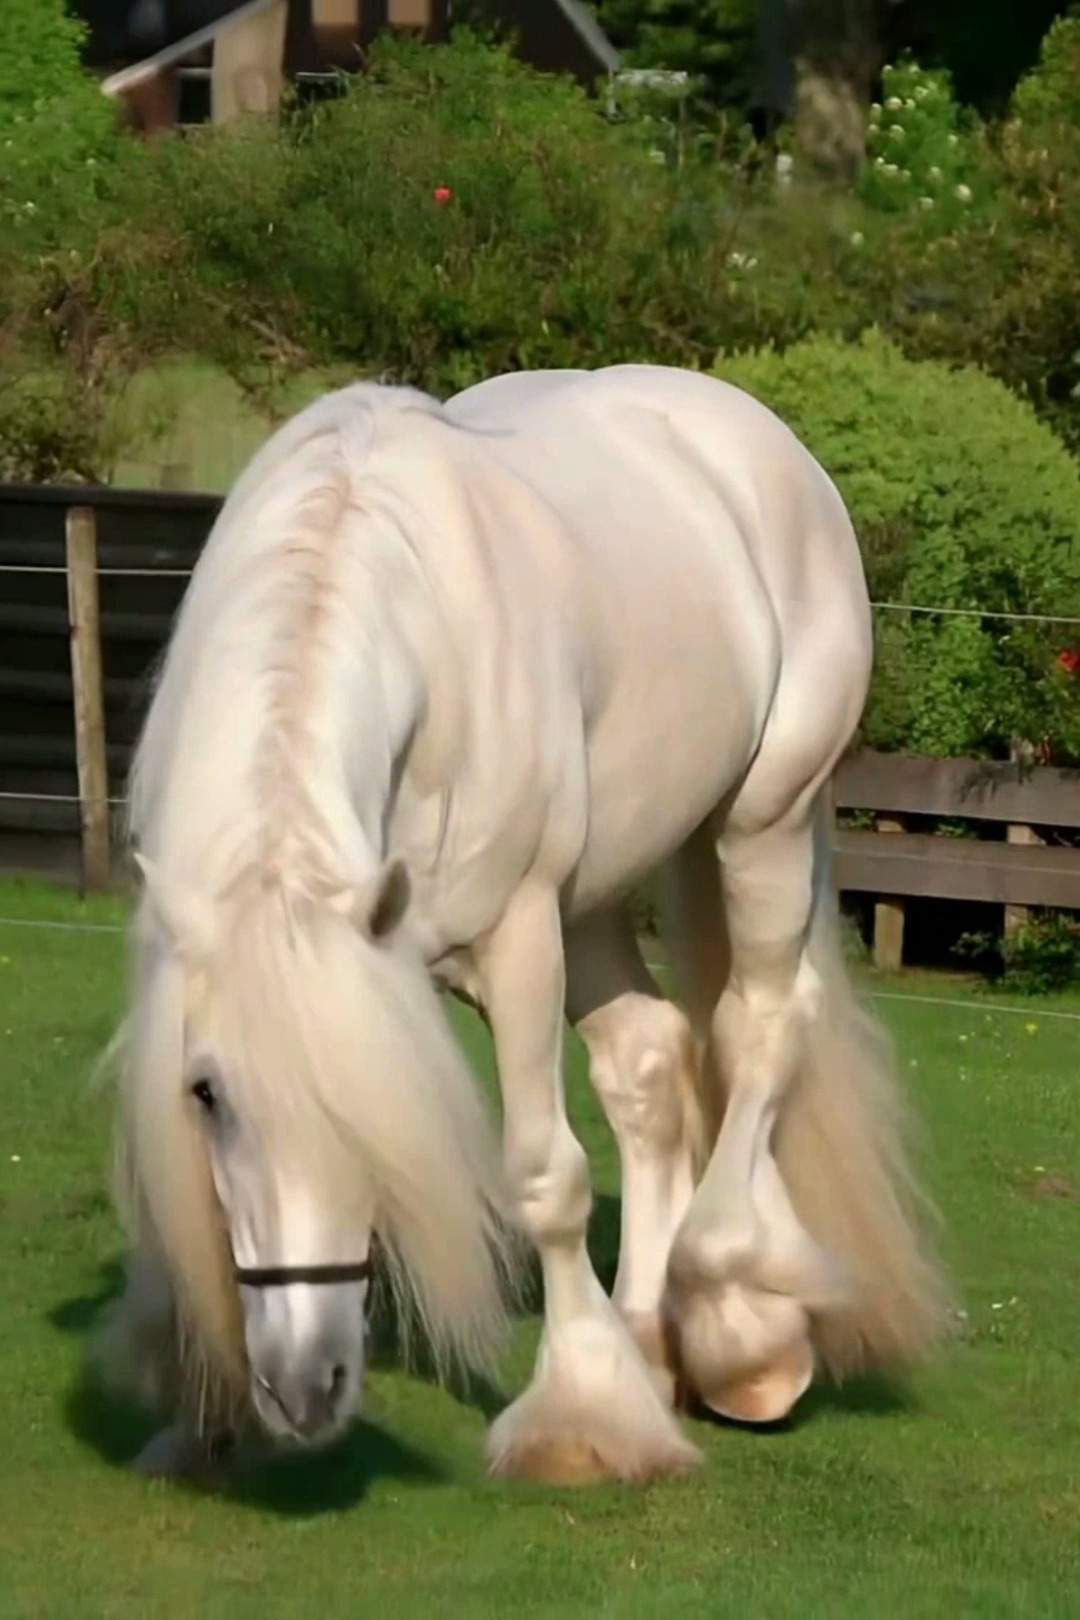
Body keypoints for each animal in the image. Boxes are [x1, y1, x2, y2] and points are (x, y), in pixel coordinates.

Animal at [94, 362, 950, 1486]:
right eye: (206, 1094)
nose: (304, 1386)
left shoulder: (517, 941)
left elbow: (545, 1176)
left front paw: (581, 1416)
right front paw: (200, 1409)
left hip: (759, 824)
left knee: (759, 1030)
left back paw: (740, 1332)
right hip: (598, 897)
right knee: (649, 1061)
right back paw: (650, 1341)